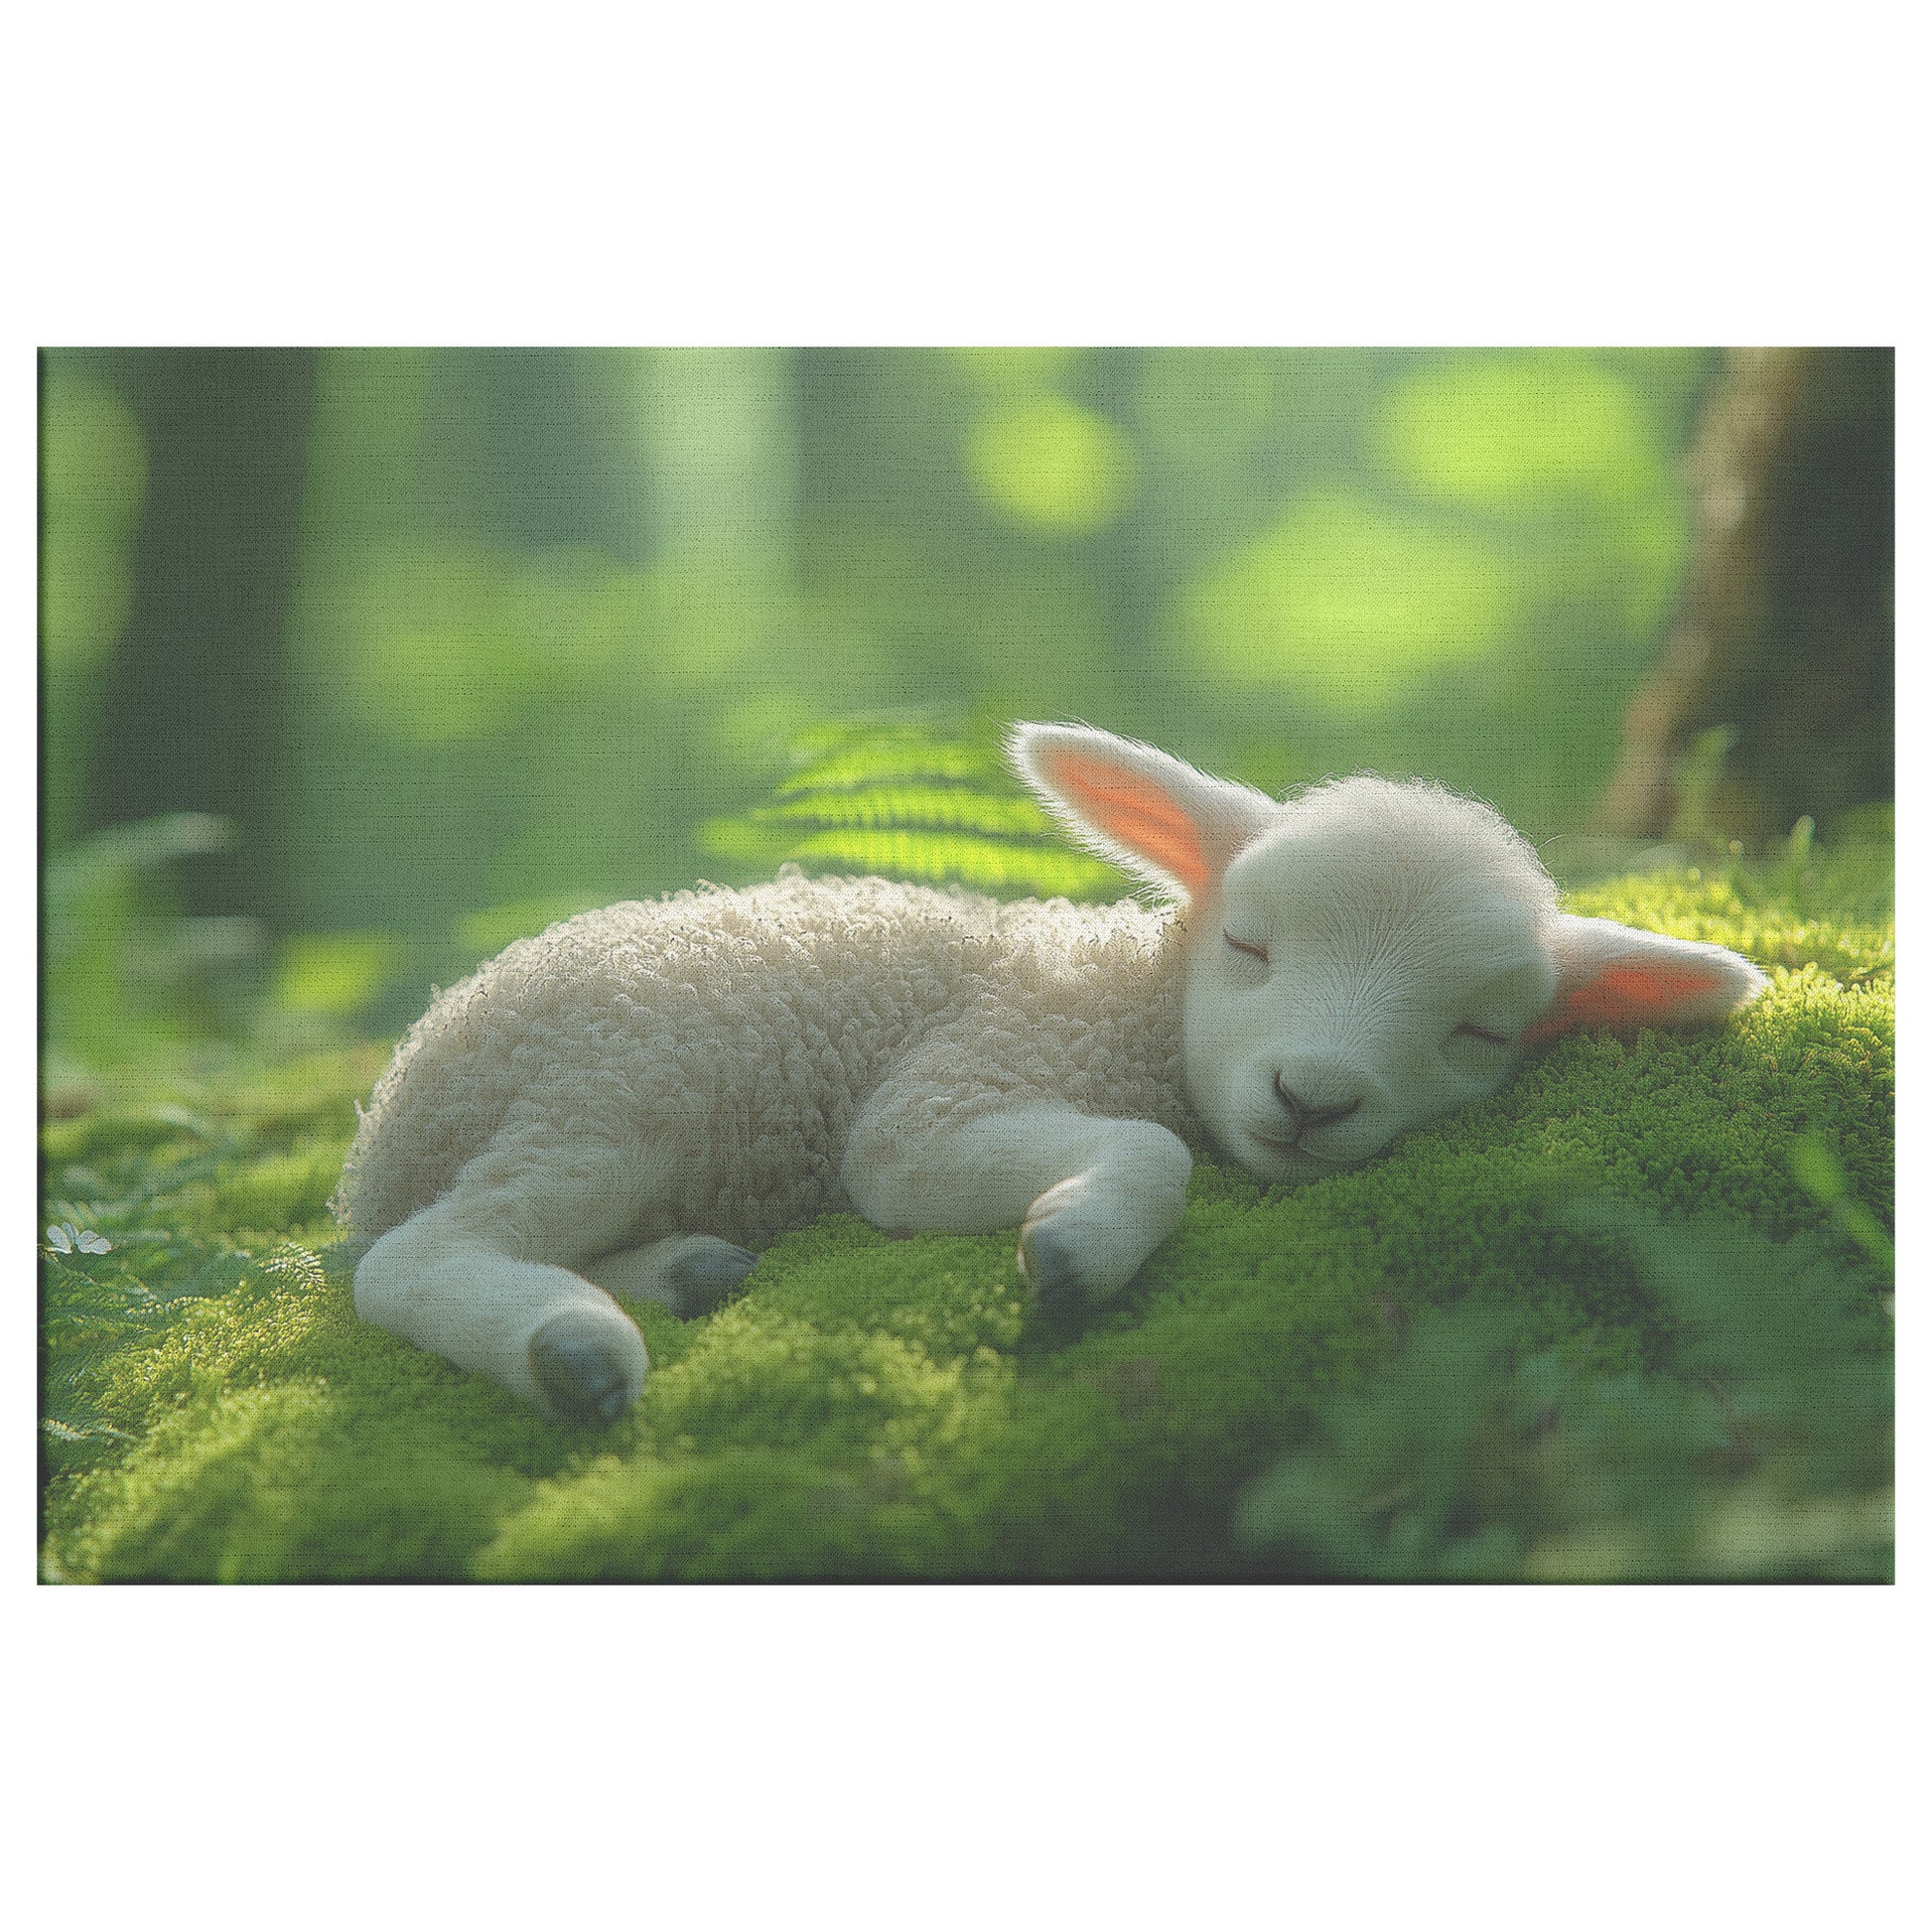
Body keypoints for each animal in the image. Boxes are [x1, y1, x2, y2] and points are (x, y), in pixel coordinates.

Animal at [338, 723, 1769, 1425]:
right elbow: (1145, 1150)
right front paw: (1080, 1246)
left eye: (1479, 1033)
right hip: (603, 1089)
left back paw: (682, 1269)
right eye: (1249, 942)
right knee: (411, 1259)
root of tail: (383, 1121)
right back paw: (570, 1346)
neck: (1126, 994)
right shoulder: (943, 1095)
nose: (1310, 1097)